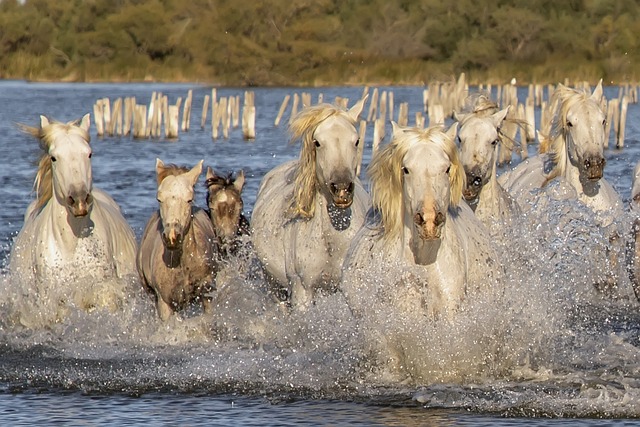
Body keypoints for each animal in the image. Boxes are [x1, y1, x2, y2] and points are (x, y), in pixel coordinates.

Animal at [251, 98, 369, 310]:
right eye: (317, 142)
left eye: (356, 140)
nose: (341, 188)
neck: (332, 240)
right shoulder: (302, 291)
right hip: (273, 286)